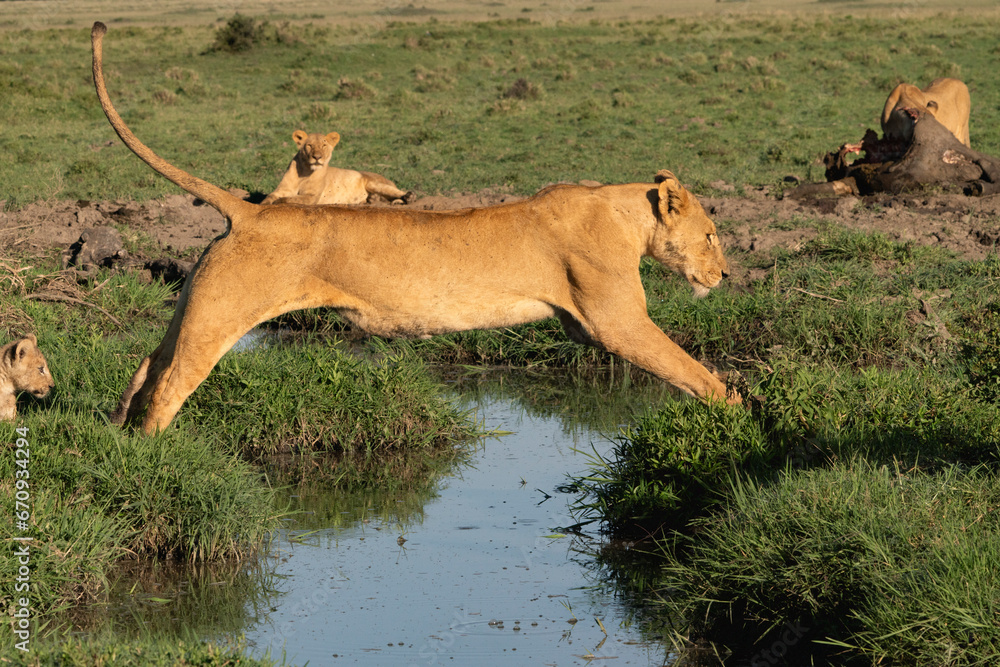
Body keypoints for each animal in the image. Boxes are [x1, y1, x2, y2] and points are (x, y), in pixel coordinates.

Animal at [261, 130, 414, 206]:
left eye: (324, 145)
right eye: (309, 145)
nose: (317, 157)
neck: (305, 170)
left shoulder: (312, 197)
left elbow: (289, 199)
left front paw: (277, 202)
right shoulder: (282, 190)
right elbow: (270, 196)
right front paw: (264, 203)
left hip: (374, 183)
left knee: (399, 192)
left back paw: (408, 197)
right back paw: (373, 200)